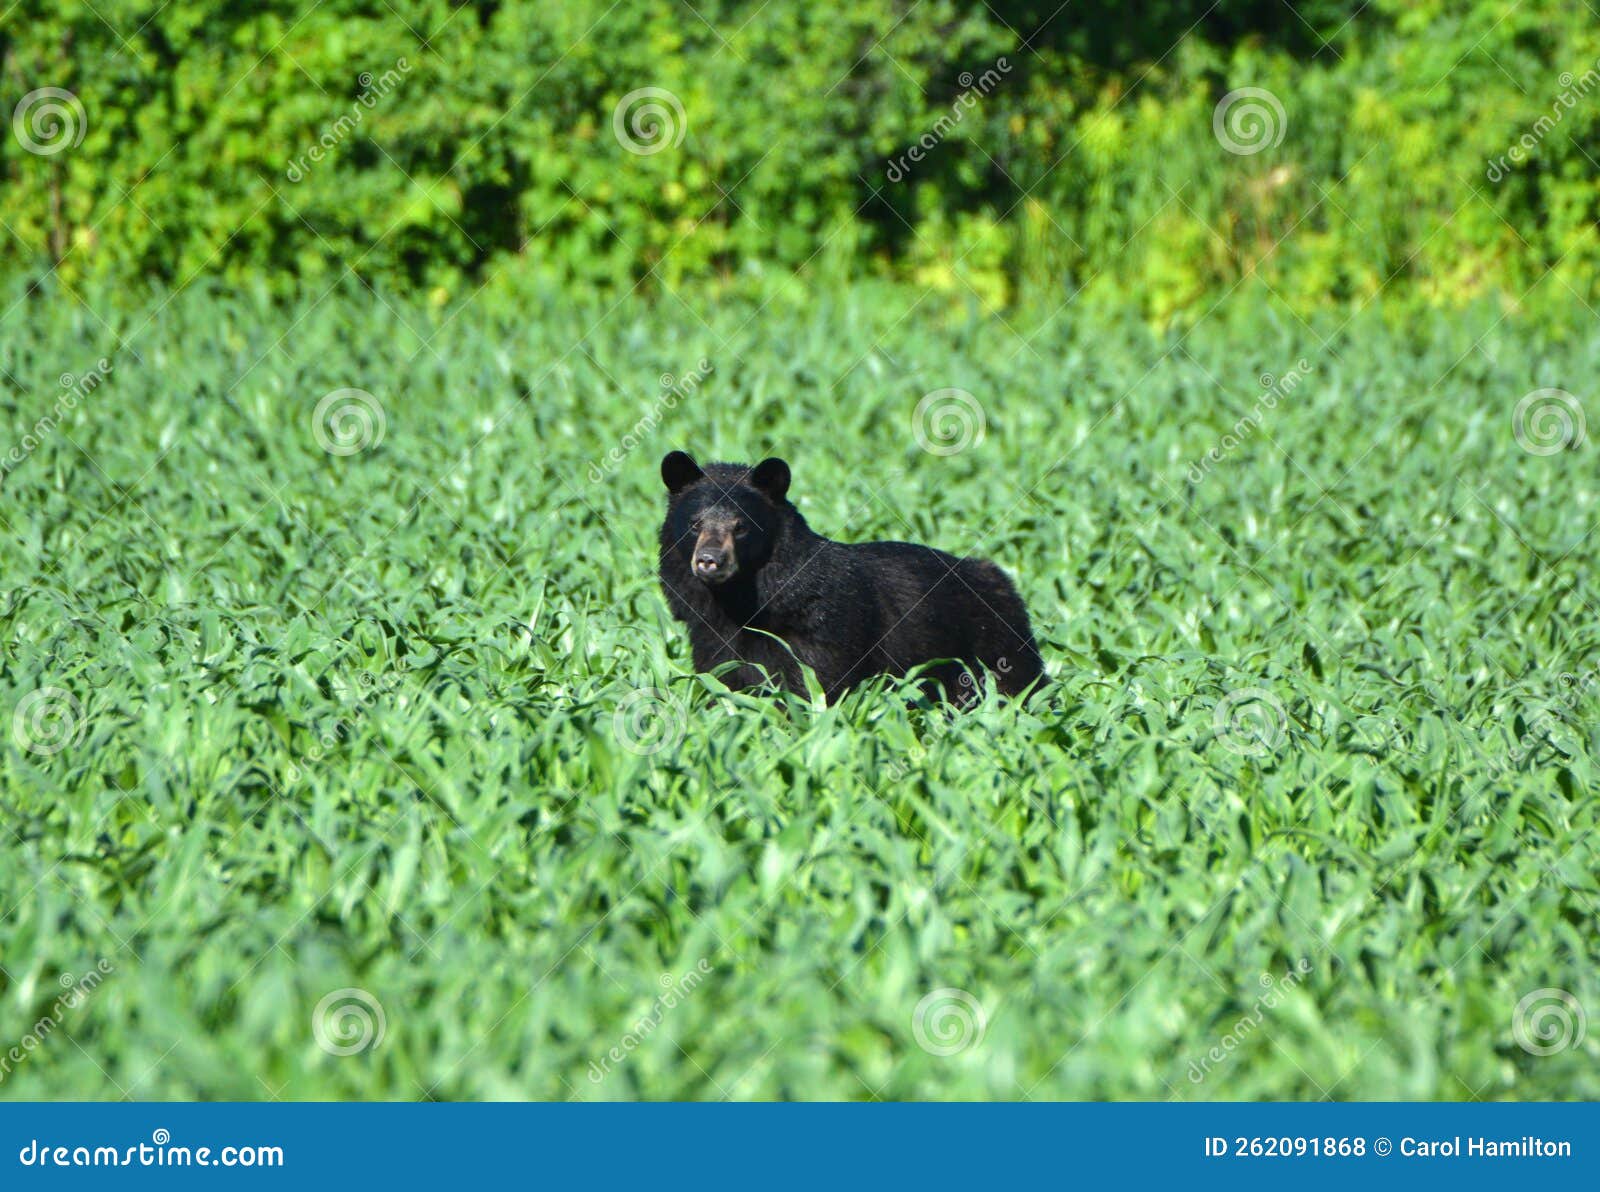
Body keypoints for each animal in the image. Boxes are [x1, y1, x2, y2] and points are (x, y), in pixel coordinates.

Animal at [657, 450, 1044, 704]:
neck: (743, 601)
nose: (710, 561)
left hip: (994, 641)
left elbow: (814, 687)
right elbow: (721, 684)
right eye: (695, 524)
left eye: (741, 527)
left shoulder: (823, 630)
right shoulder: (710, 637)